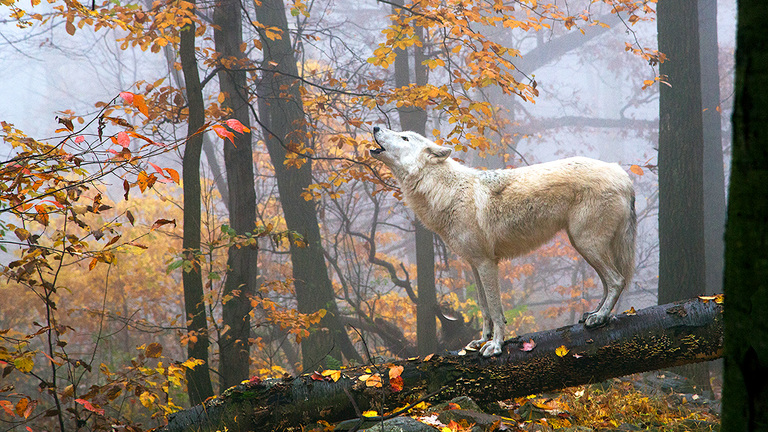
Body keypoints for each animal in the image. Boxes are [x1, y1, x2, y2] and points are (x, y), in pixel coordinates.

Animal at [370, 126, 636, 357]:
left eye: (404, 138)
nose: (375, 127)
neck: (448, 192)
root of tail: (622, 174)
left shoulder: (487, 263)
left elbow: (496, 310)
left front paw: (496, 346)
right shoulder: (474, 265)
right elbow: (484, 307)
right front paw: (481, 340)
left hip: (586, 243)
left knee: (617, 280)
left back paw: (600, 317)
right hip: (583, 245)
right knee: (608, 282)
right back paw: (597, 313)